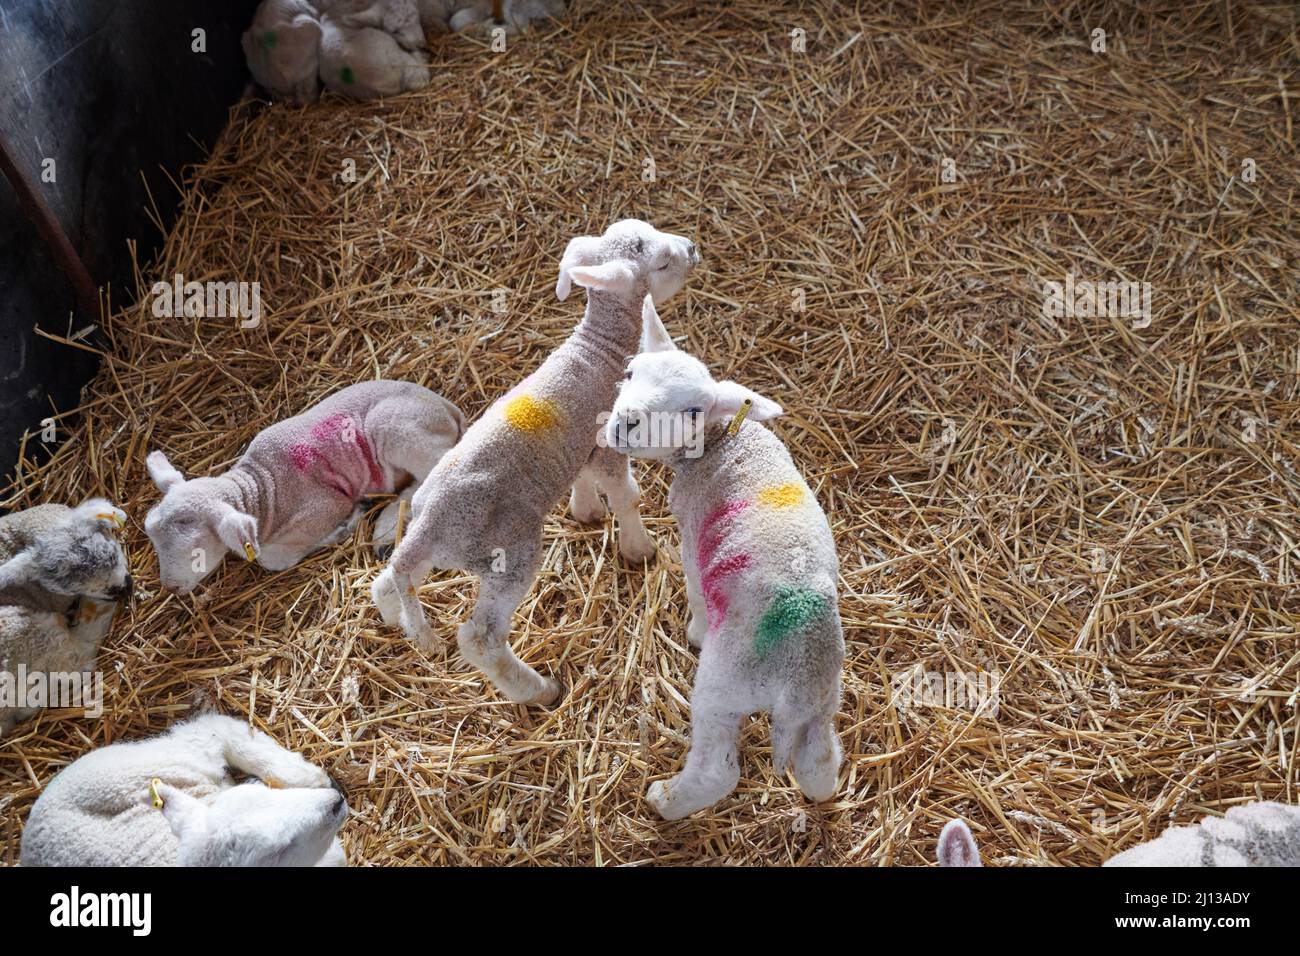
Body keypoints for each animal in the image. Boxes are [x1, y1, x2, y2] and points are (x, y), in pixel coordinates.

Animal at [144, 380, 463, 595]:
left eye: (196, 548)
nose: (170, 587)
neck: (263, 489)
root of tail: (447, 407)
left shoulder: (325, 506)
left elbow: (271, 559)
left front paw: (345, 527)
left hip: (398, 430)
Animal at [371, 220, 700, 705]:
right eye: (660, 261)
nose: (692, 248)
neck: (597, 348)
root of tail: (429, 524)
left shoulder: (581, 446)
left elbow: (582, 479)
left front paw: (586, 512)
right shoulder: (608, 445)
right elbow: (627, 497)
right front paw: (639, 549)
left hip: (430, 546)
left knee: (395, 574)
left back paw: (397, 615)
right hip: (508, 555)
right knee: (481, 638)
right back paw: (539, 690)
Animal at [602, 295, 844, 819]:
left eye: (692, 410)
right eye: (630, 372)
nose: (624, 422)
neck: (723, 440)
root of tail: (797, 673)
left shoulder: (694, 541)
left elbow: (694, 591)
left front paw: (692, 631)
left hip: (723, 685)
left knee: (718, 770)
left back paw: (666, 798)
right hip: (822, 702)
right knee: (820, 764)